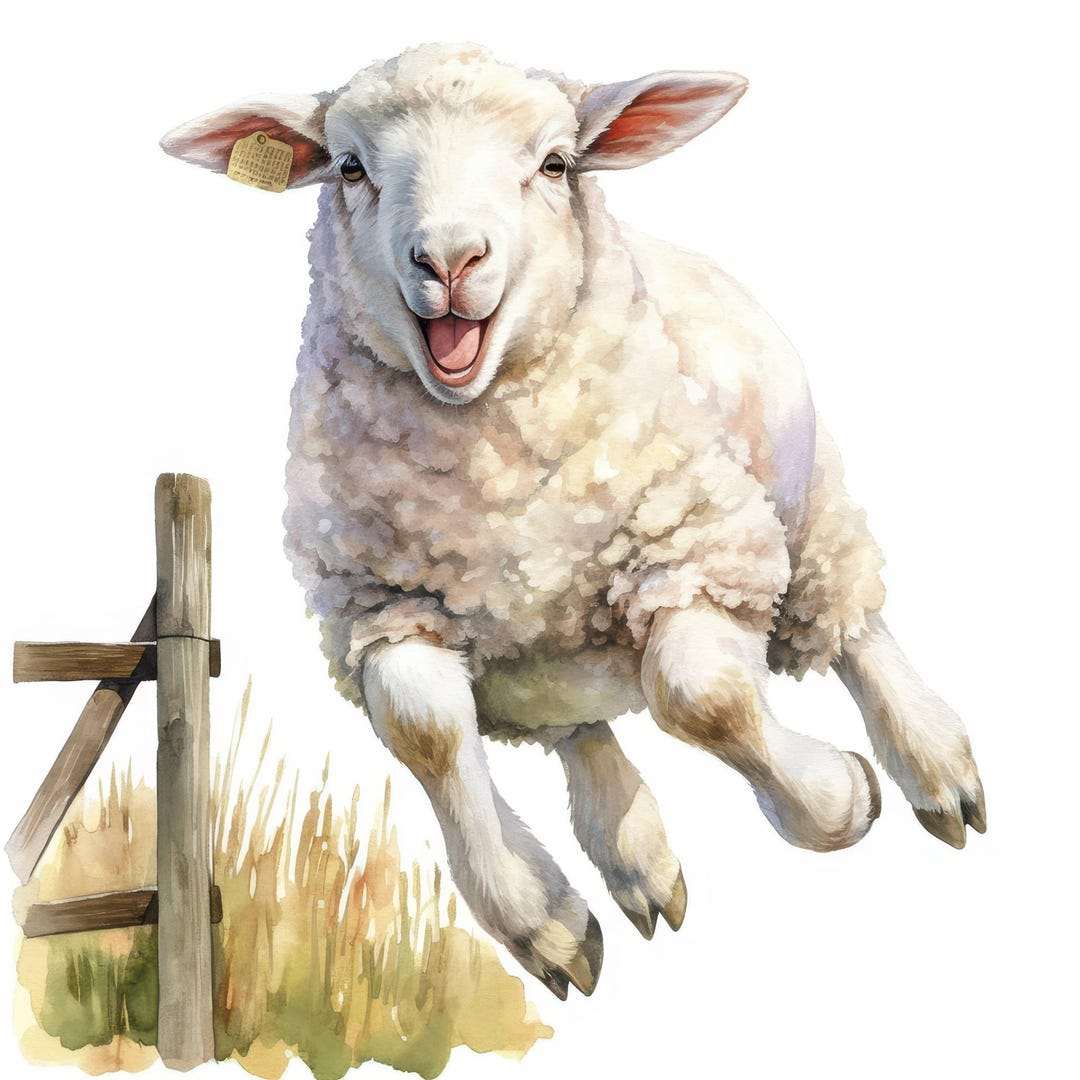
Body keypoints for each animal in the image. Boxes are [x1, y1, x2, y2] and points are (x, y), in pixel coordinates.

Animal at [161, 42, 985, 1000]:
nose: (449, 260)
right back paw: (636, 863)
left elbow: (701, 695)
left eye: (555, 165)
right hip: (541, 660)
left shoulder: (695, 546)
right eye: (350, 168)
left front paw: (840, 796)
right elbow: (426, 732)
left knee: (853, 622)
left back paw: (934, 764)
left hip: (803, 500)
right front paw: (537, 919)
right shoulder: (384, 608)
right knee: (579, 726)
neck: (495, 491)